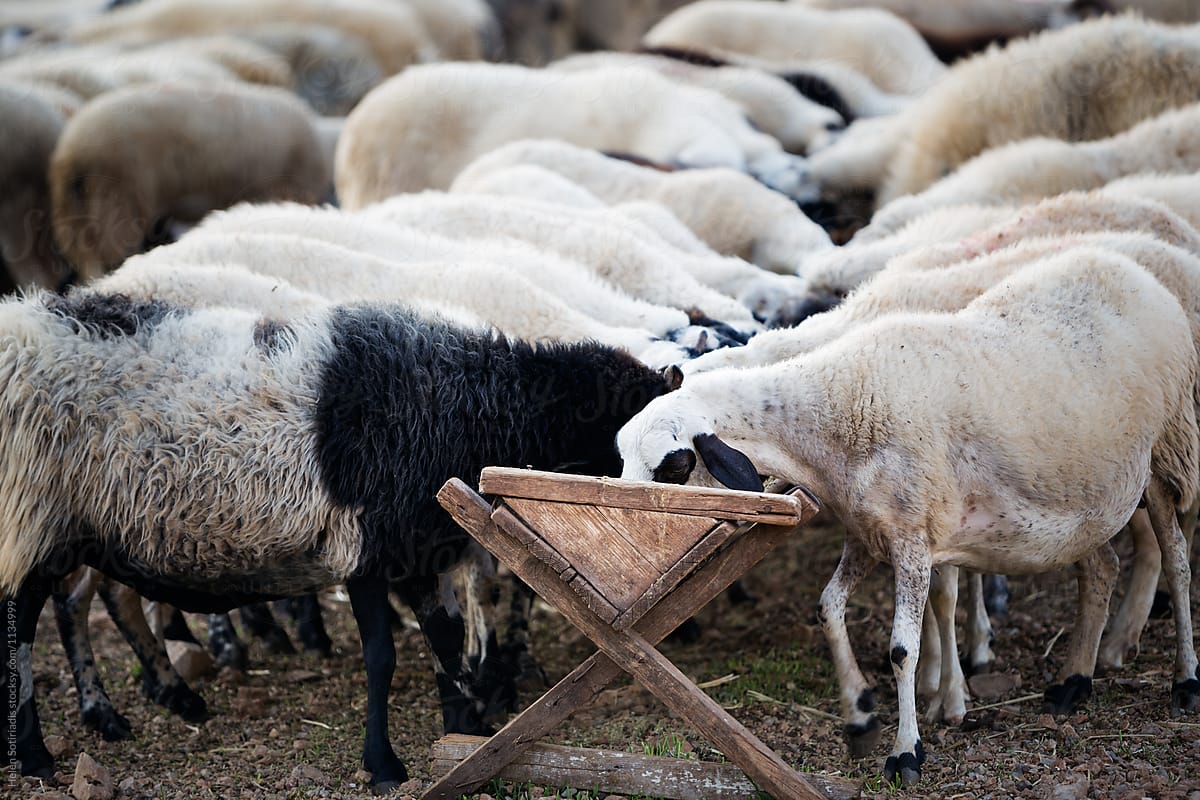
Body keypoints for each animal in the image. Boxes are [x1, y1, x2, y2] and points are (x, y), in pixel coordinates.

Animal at [0, 284, 682, 787]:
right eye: (623, 441)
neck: (461, 409)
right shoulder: (368, 551)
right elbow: (383, 657)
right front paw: (384, 765)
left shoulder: (418, 549)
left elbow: (443, 639)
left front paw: (465, 728)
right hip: (33, 519)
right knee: (26, 624)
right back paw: (38, 750)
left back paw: (135, 707)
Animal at [618, 248, 1200, 784]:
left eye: (674, 465)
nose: (626, 522)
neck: (839, 407)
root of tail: (1122, 266)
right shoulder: (868, 533)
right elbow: (828, 608)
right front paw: (860, 717)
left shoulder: (914, 540)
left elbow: (903, 648)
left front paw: (907, 751)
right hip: (1085, 497)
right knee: (1102, 567)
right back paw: (1072, 682)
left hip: (1166, 451)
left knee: (1175, 560)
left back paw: (1183, 680)